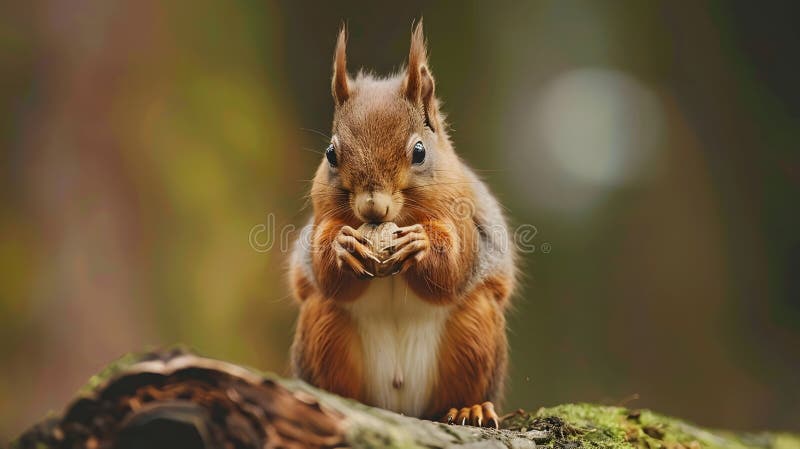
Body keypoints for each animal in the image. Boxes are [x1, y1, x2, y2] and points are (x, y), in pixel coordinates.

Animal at [289, 21, 516, 429]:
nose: (372, 208)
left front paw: (421, 245)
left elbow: (453, 271)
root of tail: (400, 405)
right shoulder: (322, 218)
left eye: (419, 152)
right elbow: (325, 269)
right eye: (331, 154)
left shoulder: (465, 219)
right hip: (322, 323)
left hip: (476, 331)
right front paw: (342, 246)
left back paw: (469, 408)